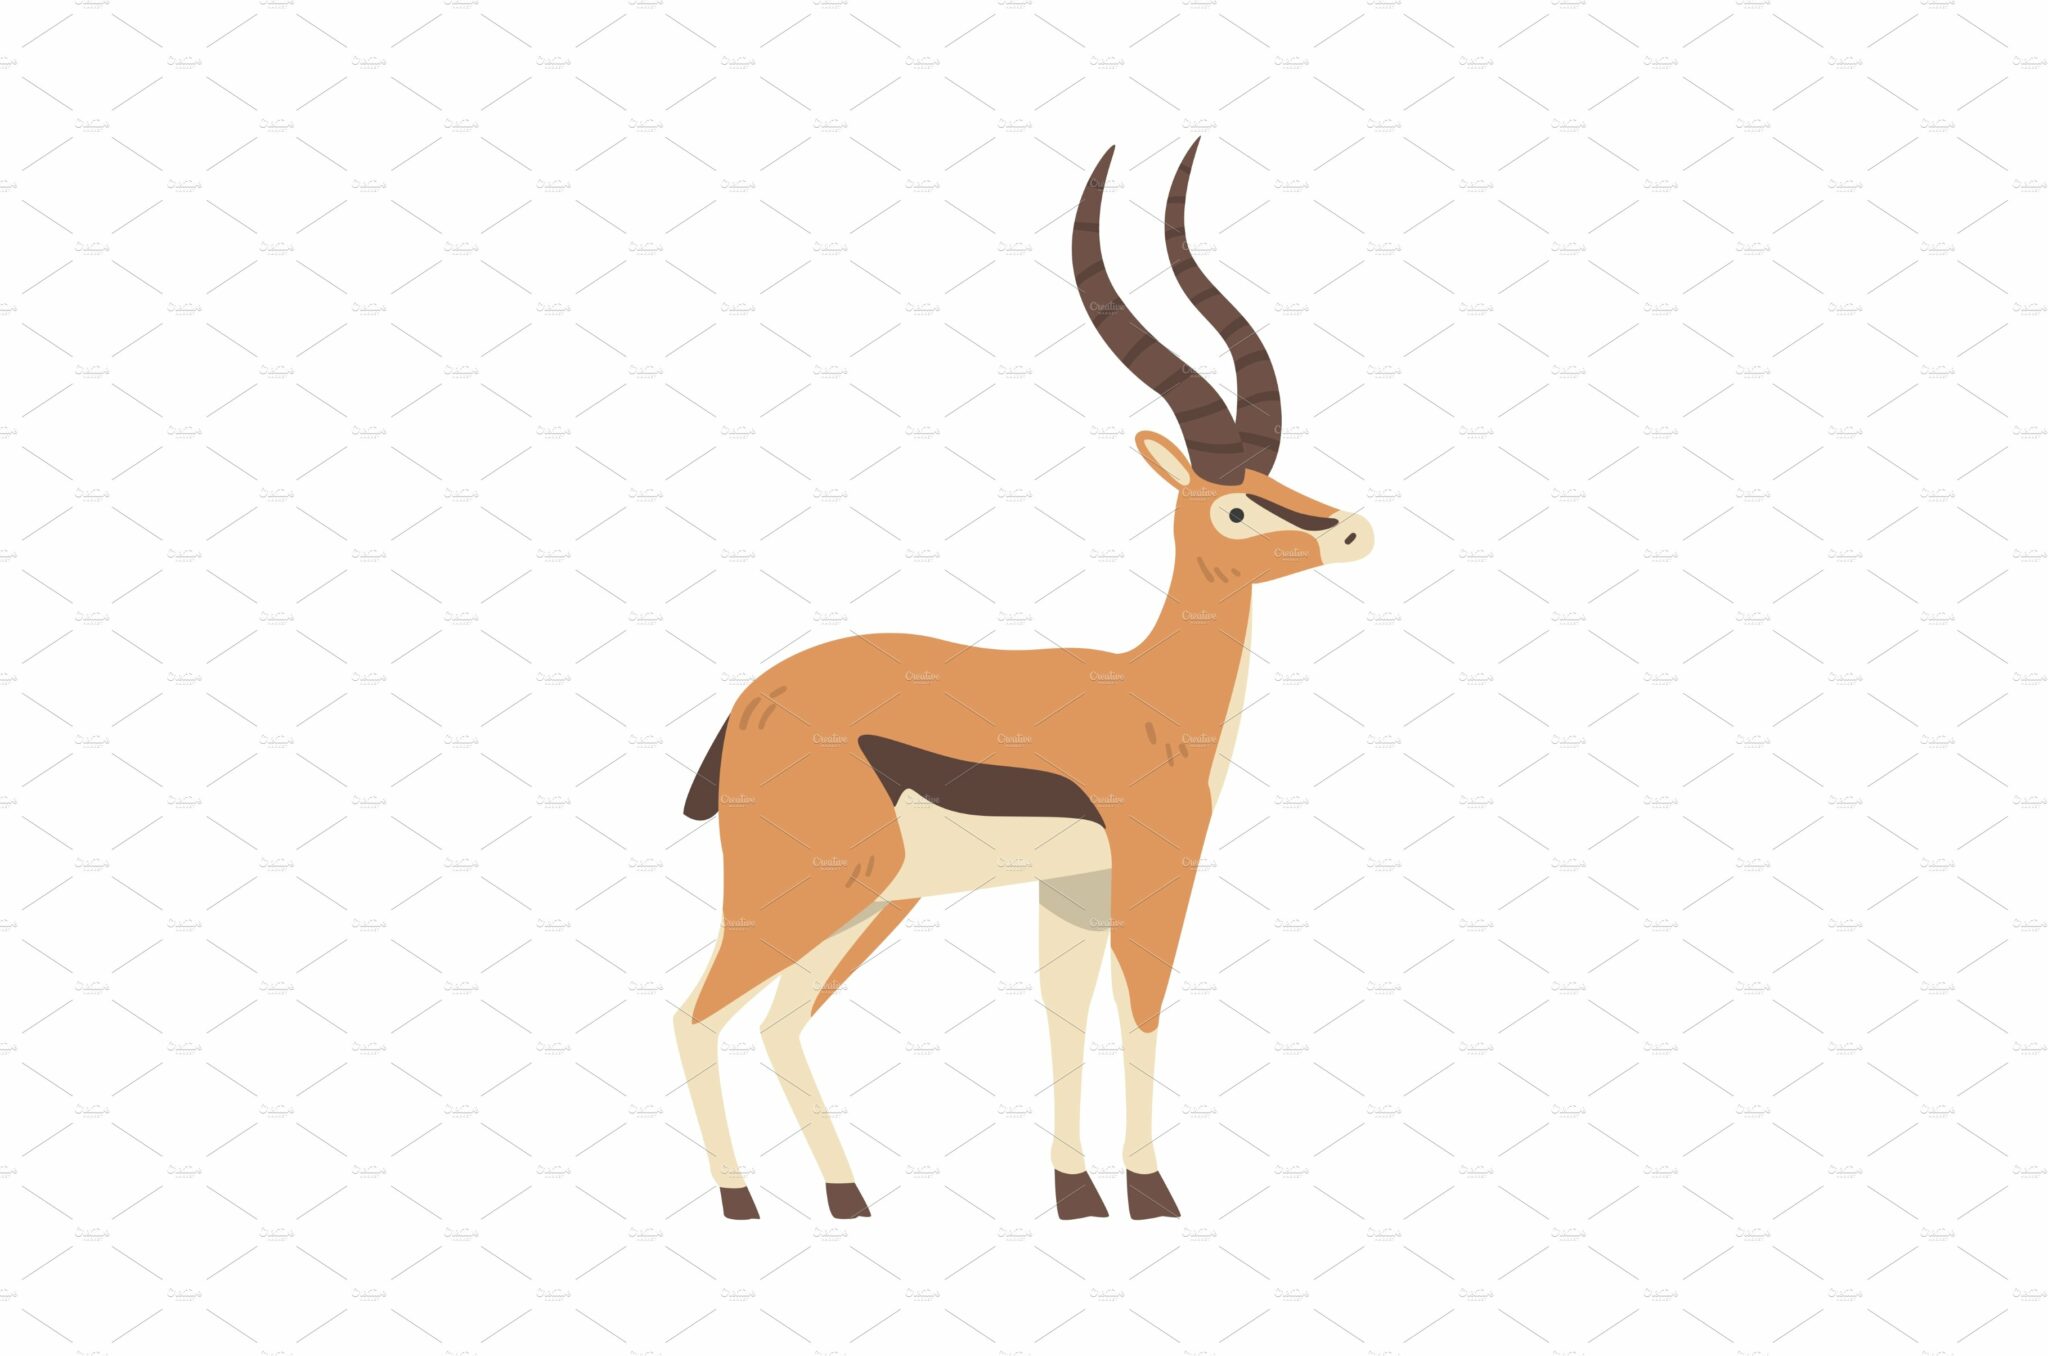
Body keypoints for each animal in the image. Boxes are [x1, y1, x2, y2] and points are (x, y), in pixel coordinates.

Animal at [676, 141, 1373, 1222]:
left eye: (1275, 481)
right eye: (1233, 509)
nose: (1350, 530)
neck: (1150, 696)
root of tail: (744, 710)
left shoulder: (1074, 888)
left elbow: (1061, 1013)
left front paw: (1075, 1193)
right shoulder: (1154, 869)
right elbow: (1140, 1005)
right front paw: (1151, 1193)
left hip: (875, 900)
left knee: (779, 1018)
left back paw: (847, 1197)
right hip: (814, 886)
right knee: (698, 1012)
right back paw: (740, 1203)